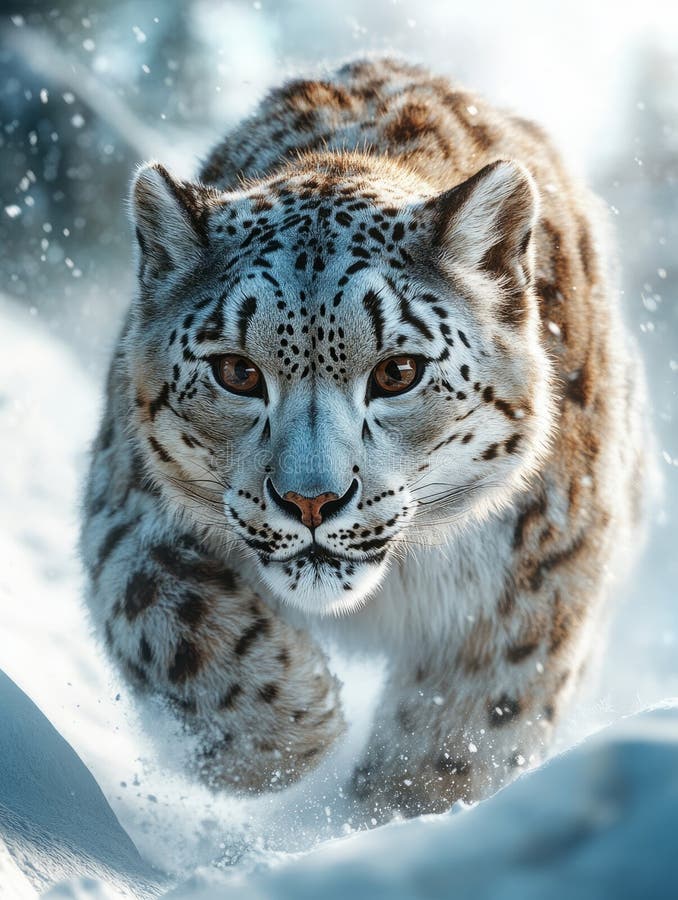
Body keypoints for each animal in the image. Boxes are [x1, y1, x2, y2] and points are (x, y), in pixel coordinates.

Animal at [80, 57, 650, 820]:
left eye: (397, 371)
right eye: (237, 371)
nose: (311, 501)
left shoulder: (544, 570)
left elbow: (474, 723)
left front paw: (397, 808)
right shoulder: (129, 500)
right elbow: (172, 617)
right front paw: (292, 731)